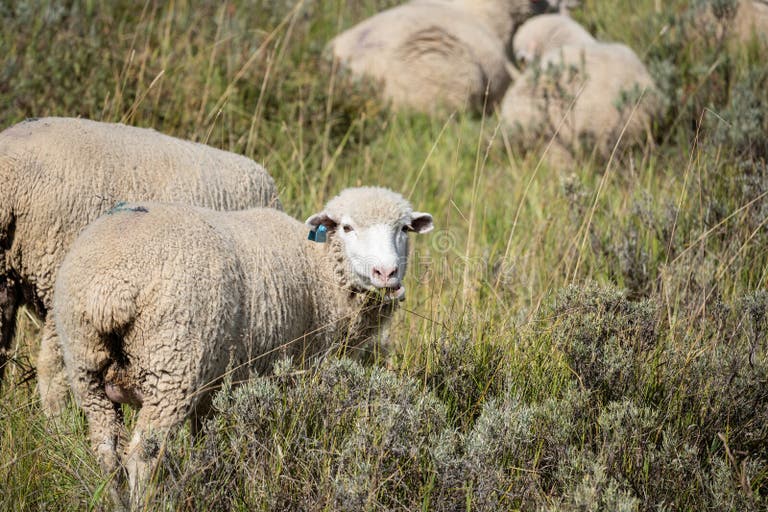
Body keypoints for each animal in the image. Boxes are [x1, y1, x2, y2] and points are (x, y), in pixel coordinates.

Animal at [53, 187, 433, 507]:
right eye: (347, 228)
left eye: (403, 229)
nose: (386, 273)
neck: (318, 270)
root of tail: (108, 288)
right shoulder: (291, 369)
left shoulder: (213, 389)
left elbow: (203, 437)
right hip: (172, 366)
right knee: (143, 456)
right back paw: (145, 503)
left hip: (86, 366)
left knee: (106, 452)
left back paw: (113, 501)